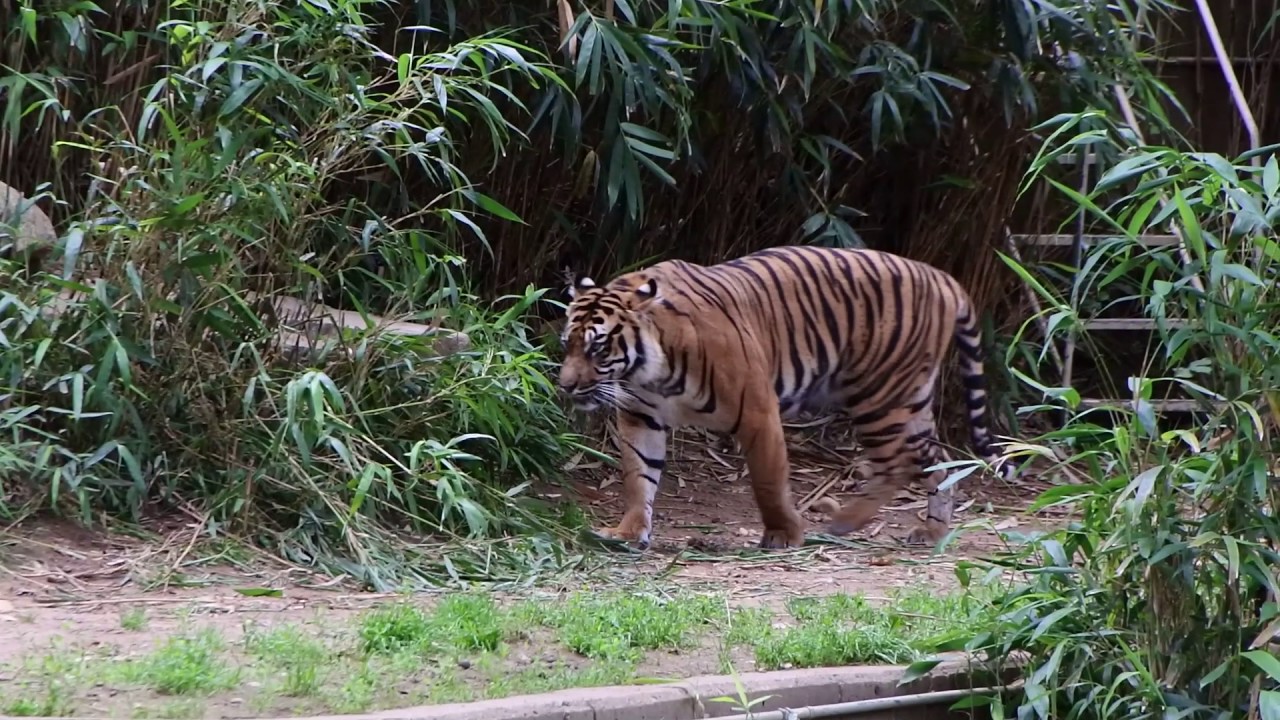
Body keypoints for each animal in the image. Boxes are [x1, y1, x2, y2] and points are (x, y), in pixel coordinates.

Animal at [557, 245, 1014, 550]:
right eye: (568, 344)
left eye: (598, 347)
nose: (565, 385)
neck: (649, 369)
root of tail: (942, 277)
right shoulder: (641, 416)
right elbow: (638, 475)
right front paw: (627, 532)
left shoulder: (757, 411)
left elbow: (768, 481)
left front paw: (782, 534)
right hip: (910, 399)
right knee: (938, 461)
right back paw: (931, 531)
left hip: (878, 395)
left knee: (897, 463)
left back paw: (841, 522)